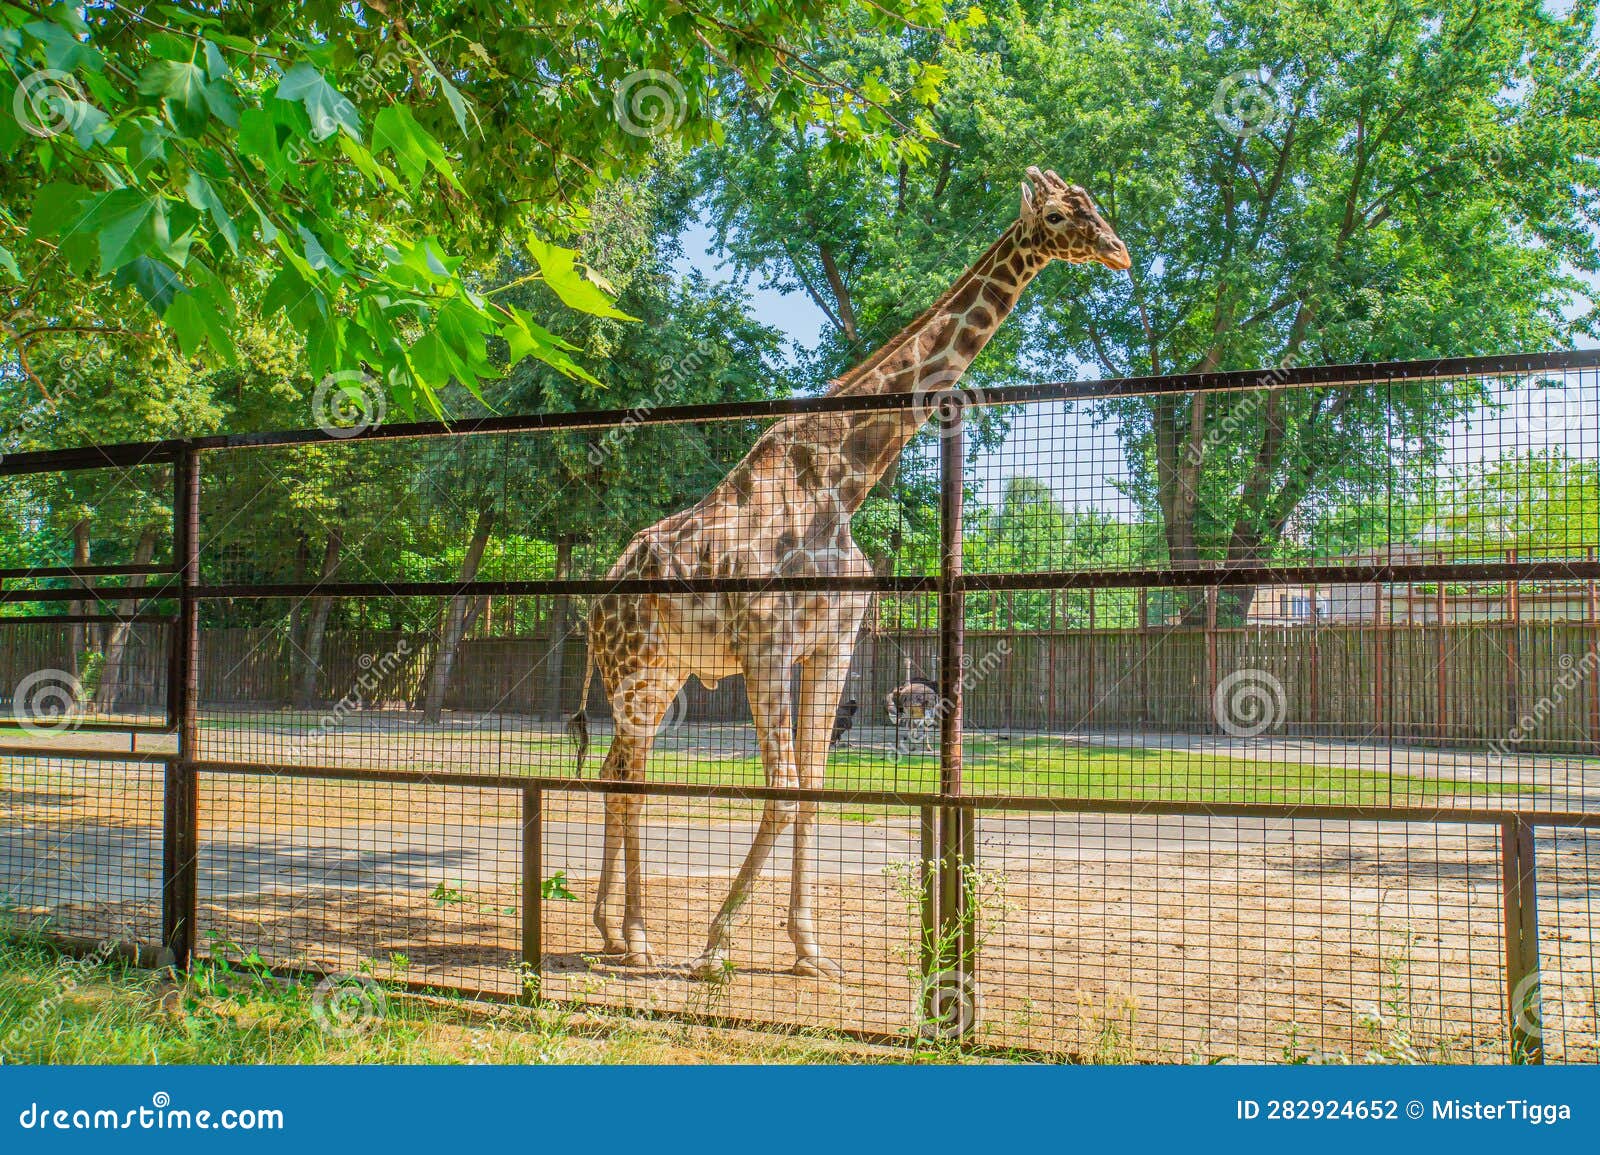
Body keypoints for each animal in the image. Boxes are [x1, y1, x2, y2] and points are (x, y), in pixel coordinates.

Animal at [570, 166, 1129, 978]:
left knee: (615, 771)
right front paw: (715, 944)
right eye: (1060, 214)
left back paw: (611, 931)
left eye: (1091, 204)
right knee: (630, 778)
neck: (842, 480)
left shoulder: (830, 646)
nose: (1119, 252)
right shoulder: (766, 647)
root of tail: (599, 596)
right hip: (635, 667)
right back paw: (639, 938)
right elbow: (783, 789)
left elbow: (815, 785)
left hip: (664, 673)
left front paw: (809, 948)